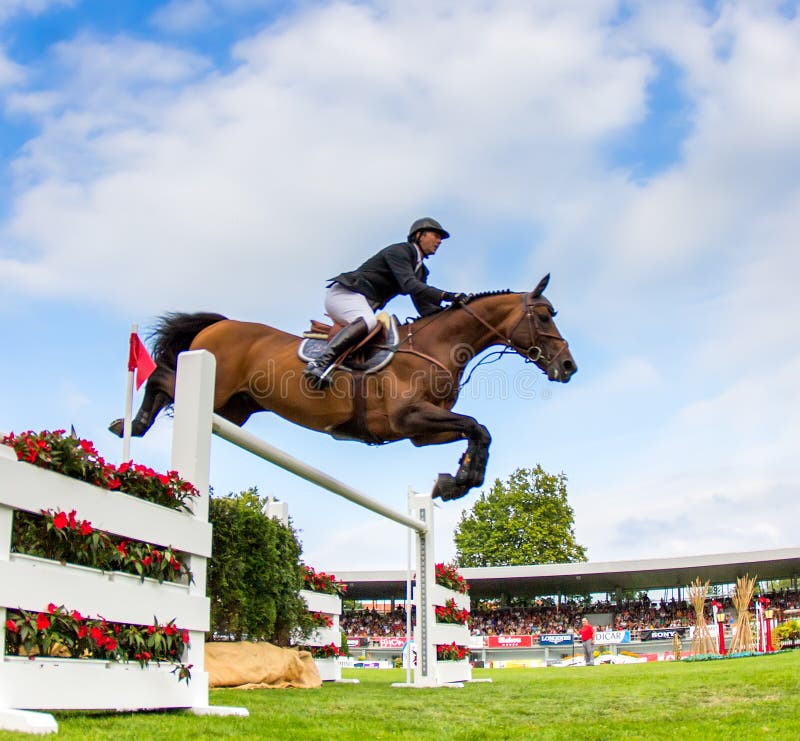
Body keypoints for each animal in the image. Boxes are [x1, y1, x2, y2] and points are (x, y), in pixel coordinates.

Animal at [109, 274, 576, 500]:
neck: (436, 347)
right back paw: (131, 424)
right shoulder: (409, 418)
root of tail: (221, 323)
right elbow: (478, 426)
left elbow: (477, 431)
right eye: (545, 315)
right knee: (162, 377)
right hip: (216, 386)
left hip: (231, 409)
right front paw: (461, 479)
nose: (569, 367)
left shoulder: (421, 432)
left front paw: (456, 480)